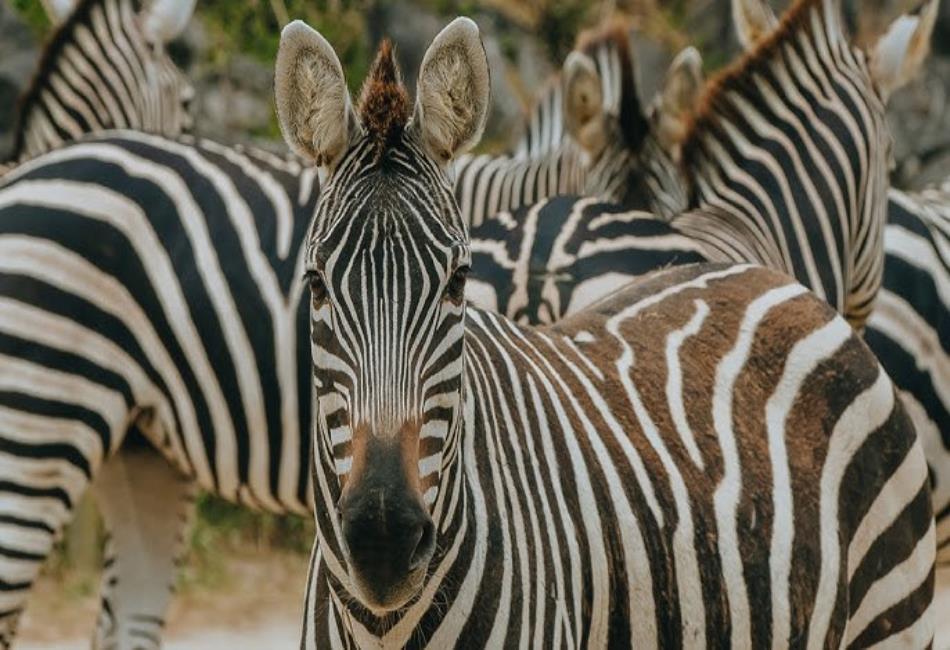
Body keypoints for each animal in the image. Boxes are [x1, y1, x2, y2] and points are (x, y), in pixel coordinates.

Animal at [272, 16, 935, 647]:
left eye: (458, 281)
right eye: (315, 284)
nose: (381, 541)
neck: (380, 627)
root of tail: (776, 284)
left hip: (895, 616)